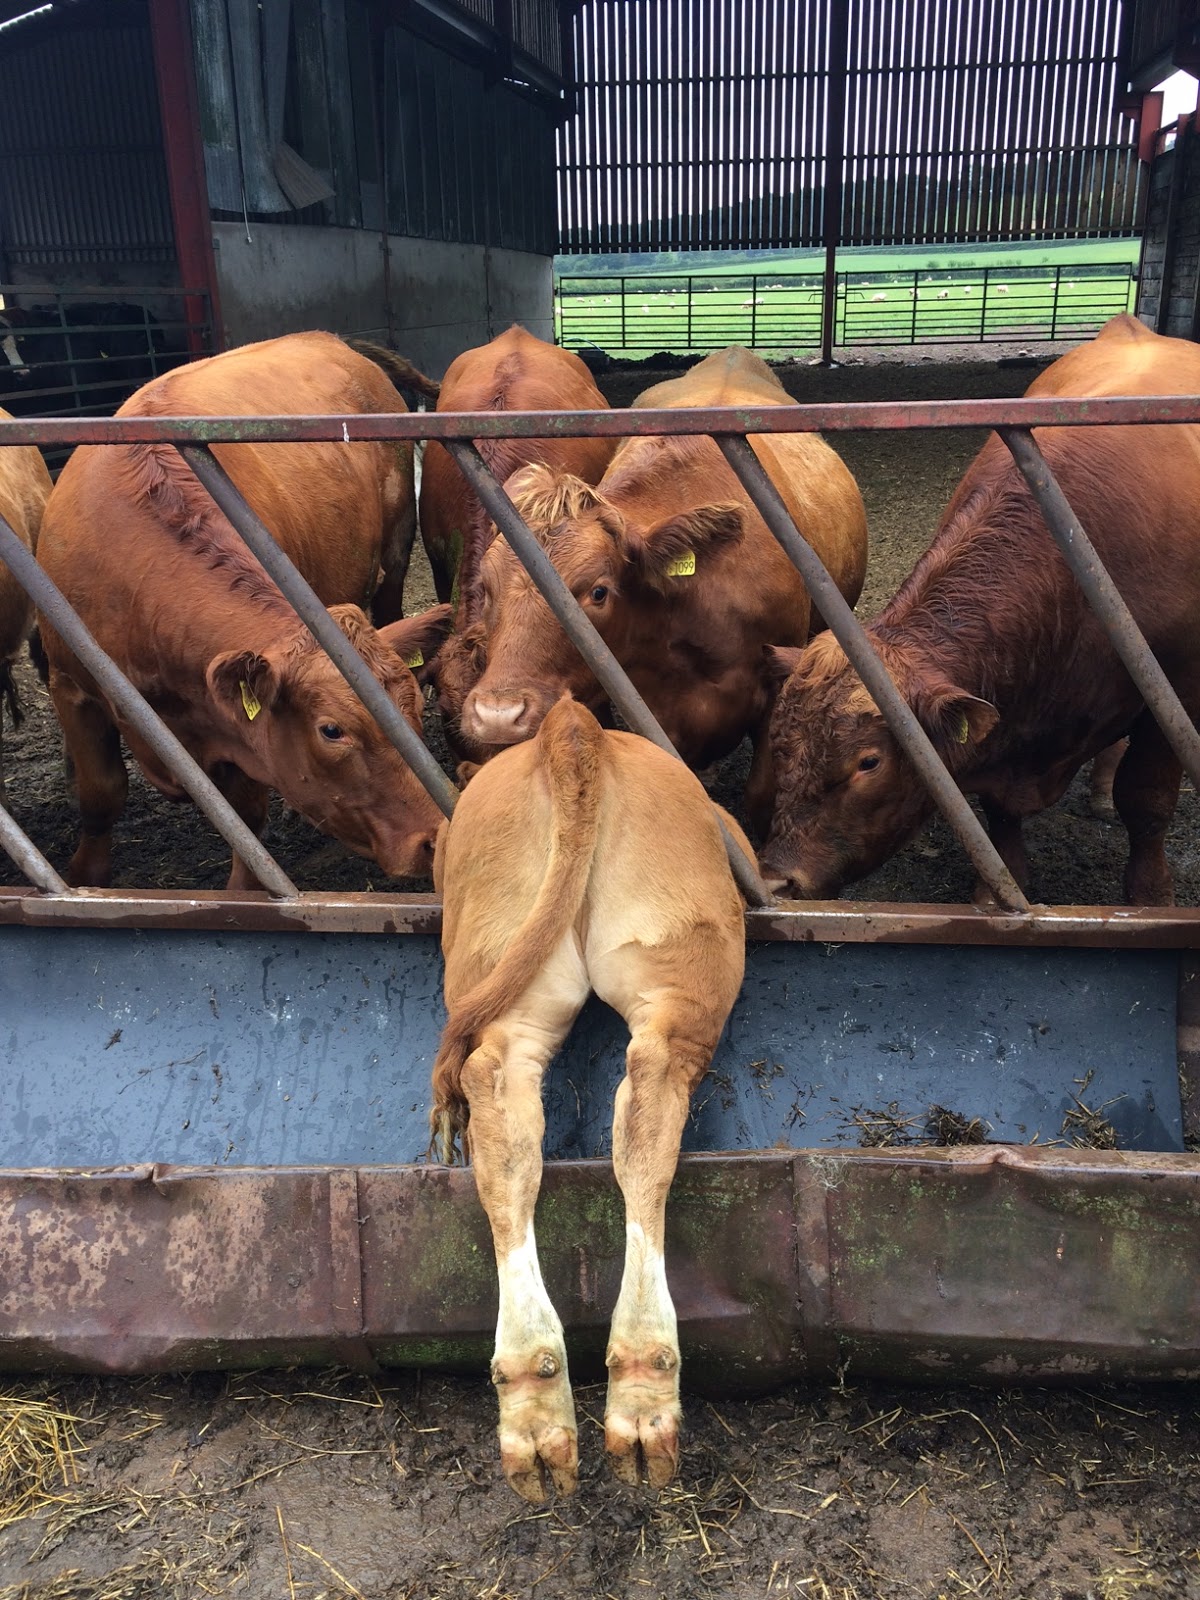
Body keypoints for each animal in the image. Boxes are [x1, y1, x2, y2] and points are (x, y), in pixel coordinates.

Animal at [36, 330, 451, 889]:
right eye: (332, 730)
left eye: (415, 711)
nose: (434, 840)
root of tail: (329, 337)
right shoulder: (70, 684)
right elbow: (100, 793)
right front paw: (84, 876)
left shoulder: (243, 732)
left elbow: (247, 823)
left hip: (397, 548)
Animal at [758, 314, 1200, 907]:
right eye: (780, 744)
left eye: (869, 762)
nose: (780, 879)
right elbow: (998, 815)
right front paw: (998, 892)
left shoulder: (1174, 692)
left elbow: (1148, 802)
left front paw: (1150, 895)